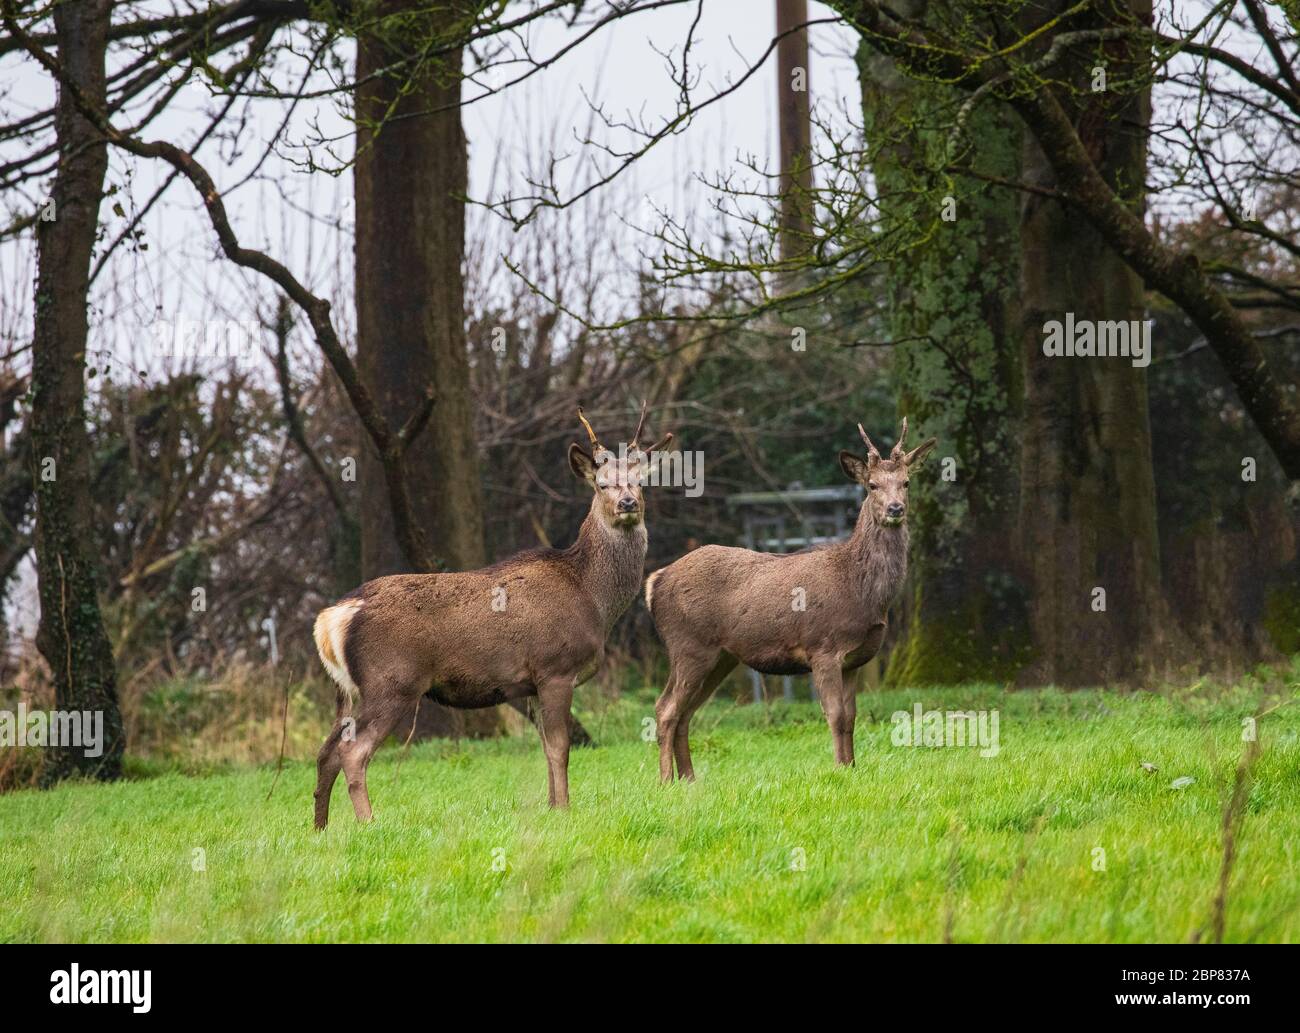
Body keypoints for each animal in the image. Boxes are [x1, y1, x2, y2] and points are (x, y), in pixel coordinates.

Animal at [312, 403, 673, 827]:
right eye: (601, 485)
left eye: (640, 482)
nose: (628, 503)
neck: (593, 600)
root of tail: (331, 619)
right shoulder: (555, 667)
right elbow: (561, 748)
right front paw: (564, 810)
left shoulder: (530, 684)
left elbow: (546, 748)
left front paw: (551, 806)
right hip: (391, 681)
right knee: (352, 752)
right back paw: (369, 823)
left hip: (348, 690)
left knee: (325, 751)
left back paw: (320, 828)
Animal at [646, 417, 935, 781]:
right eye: (871, 485)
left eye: (906, 482)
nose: (895, 509)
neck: (862, 590)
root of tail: (655, 583)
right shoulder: (823, 647)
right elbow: (835, 715)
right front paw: (839, 769)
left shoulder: (855, 659)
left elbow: (852, 717)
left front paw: (852, 767)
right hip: (688, 644)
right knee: (666, 709)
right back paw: (666, 780)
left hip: (720, 656)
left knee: (685, 712)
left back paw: (689, 780)